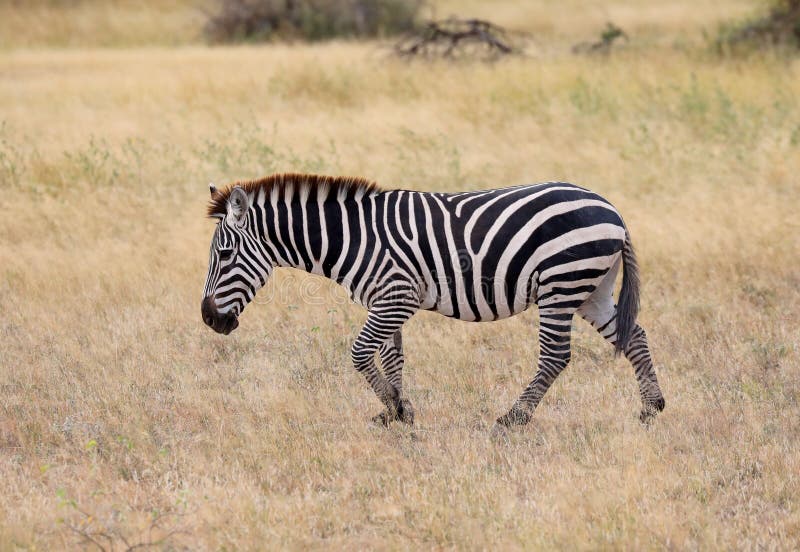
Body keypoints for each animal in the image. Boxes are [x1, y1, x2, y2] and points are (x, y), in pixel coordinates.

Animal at [201, 173, 665, 434]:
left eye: (224, 254)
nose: (208, 320)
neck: (351, 238)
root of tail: (612, 210)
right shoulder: (388, 300)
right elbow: (392, 358)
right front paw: (397, 410)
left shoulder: (395, 298)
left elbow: (358, 353)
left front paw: (394, 408)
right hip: (592, 288)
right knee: (634, 335)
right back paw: (651, 408)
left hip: (561, 283)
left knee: (555, 356)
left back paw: (513, 418)